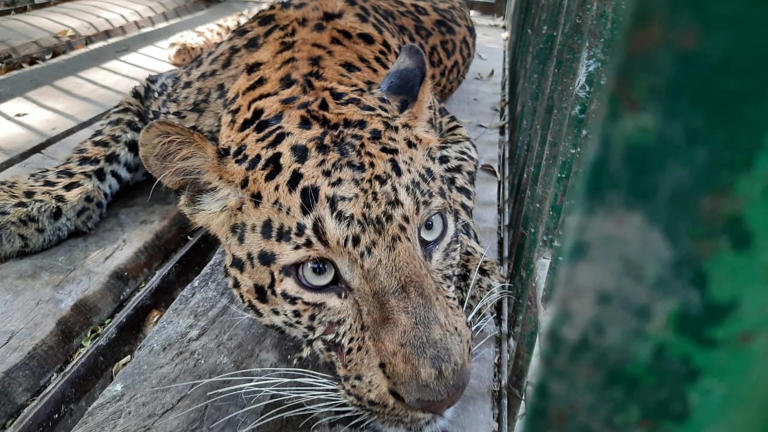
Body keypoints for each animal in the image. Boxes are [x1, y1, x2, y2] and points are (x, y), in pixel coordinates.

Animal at [0, 0, 504, 430]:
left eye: (432, 229)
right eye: (318, 273)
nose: (443, 395)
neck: (309, 76)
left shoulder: (450, 132)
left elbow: (459, 181)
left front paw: (474, 271)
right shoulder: (154, 93)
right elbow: (95, 151)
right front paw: (23, 204)